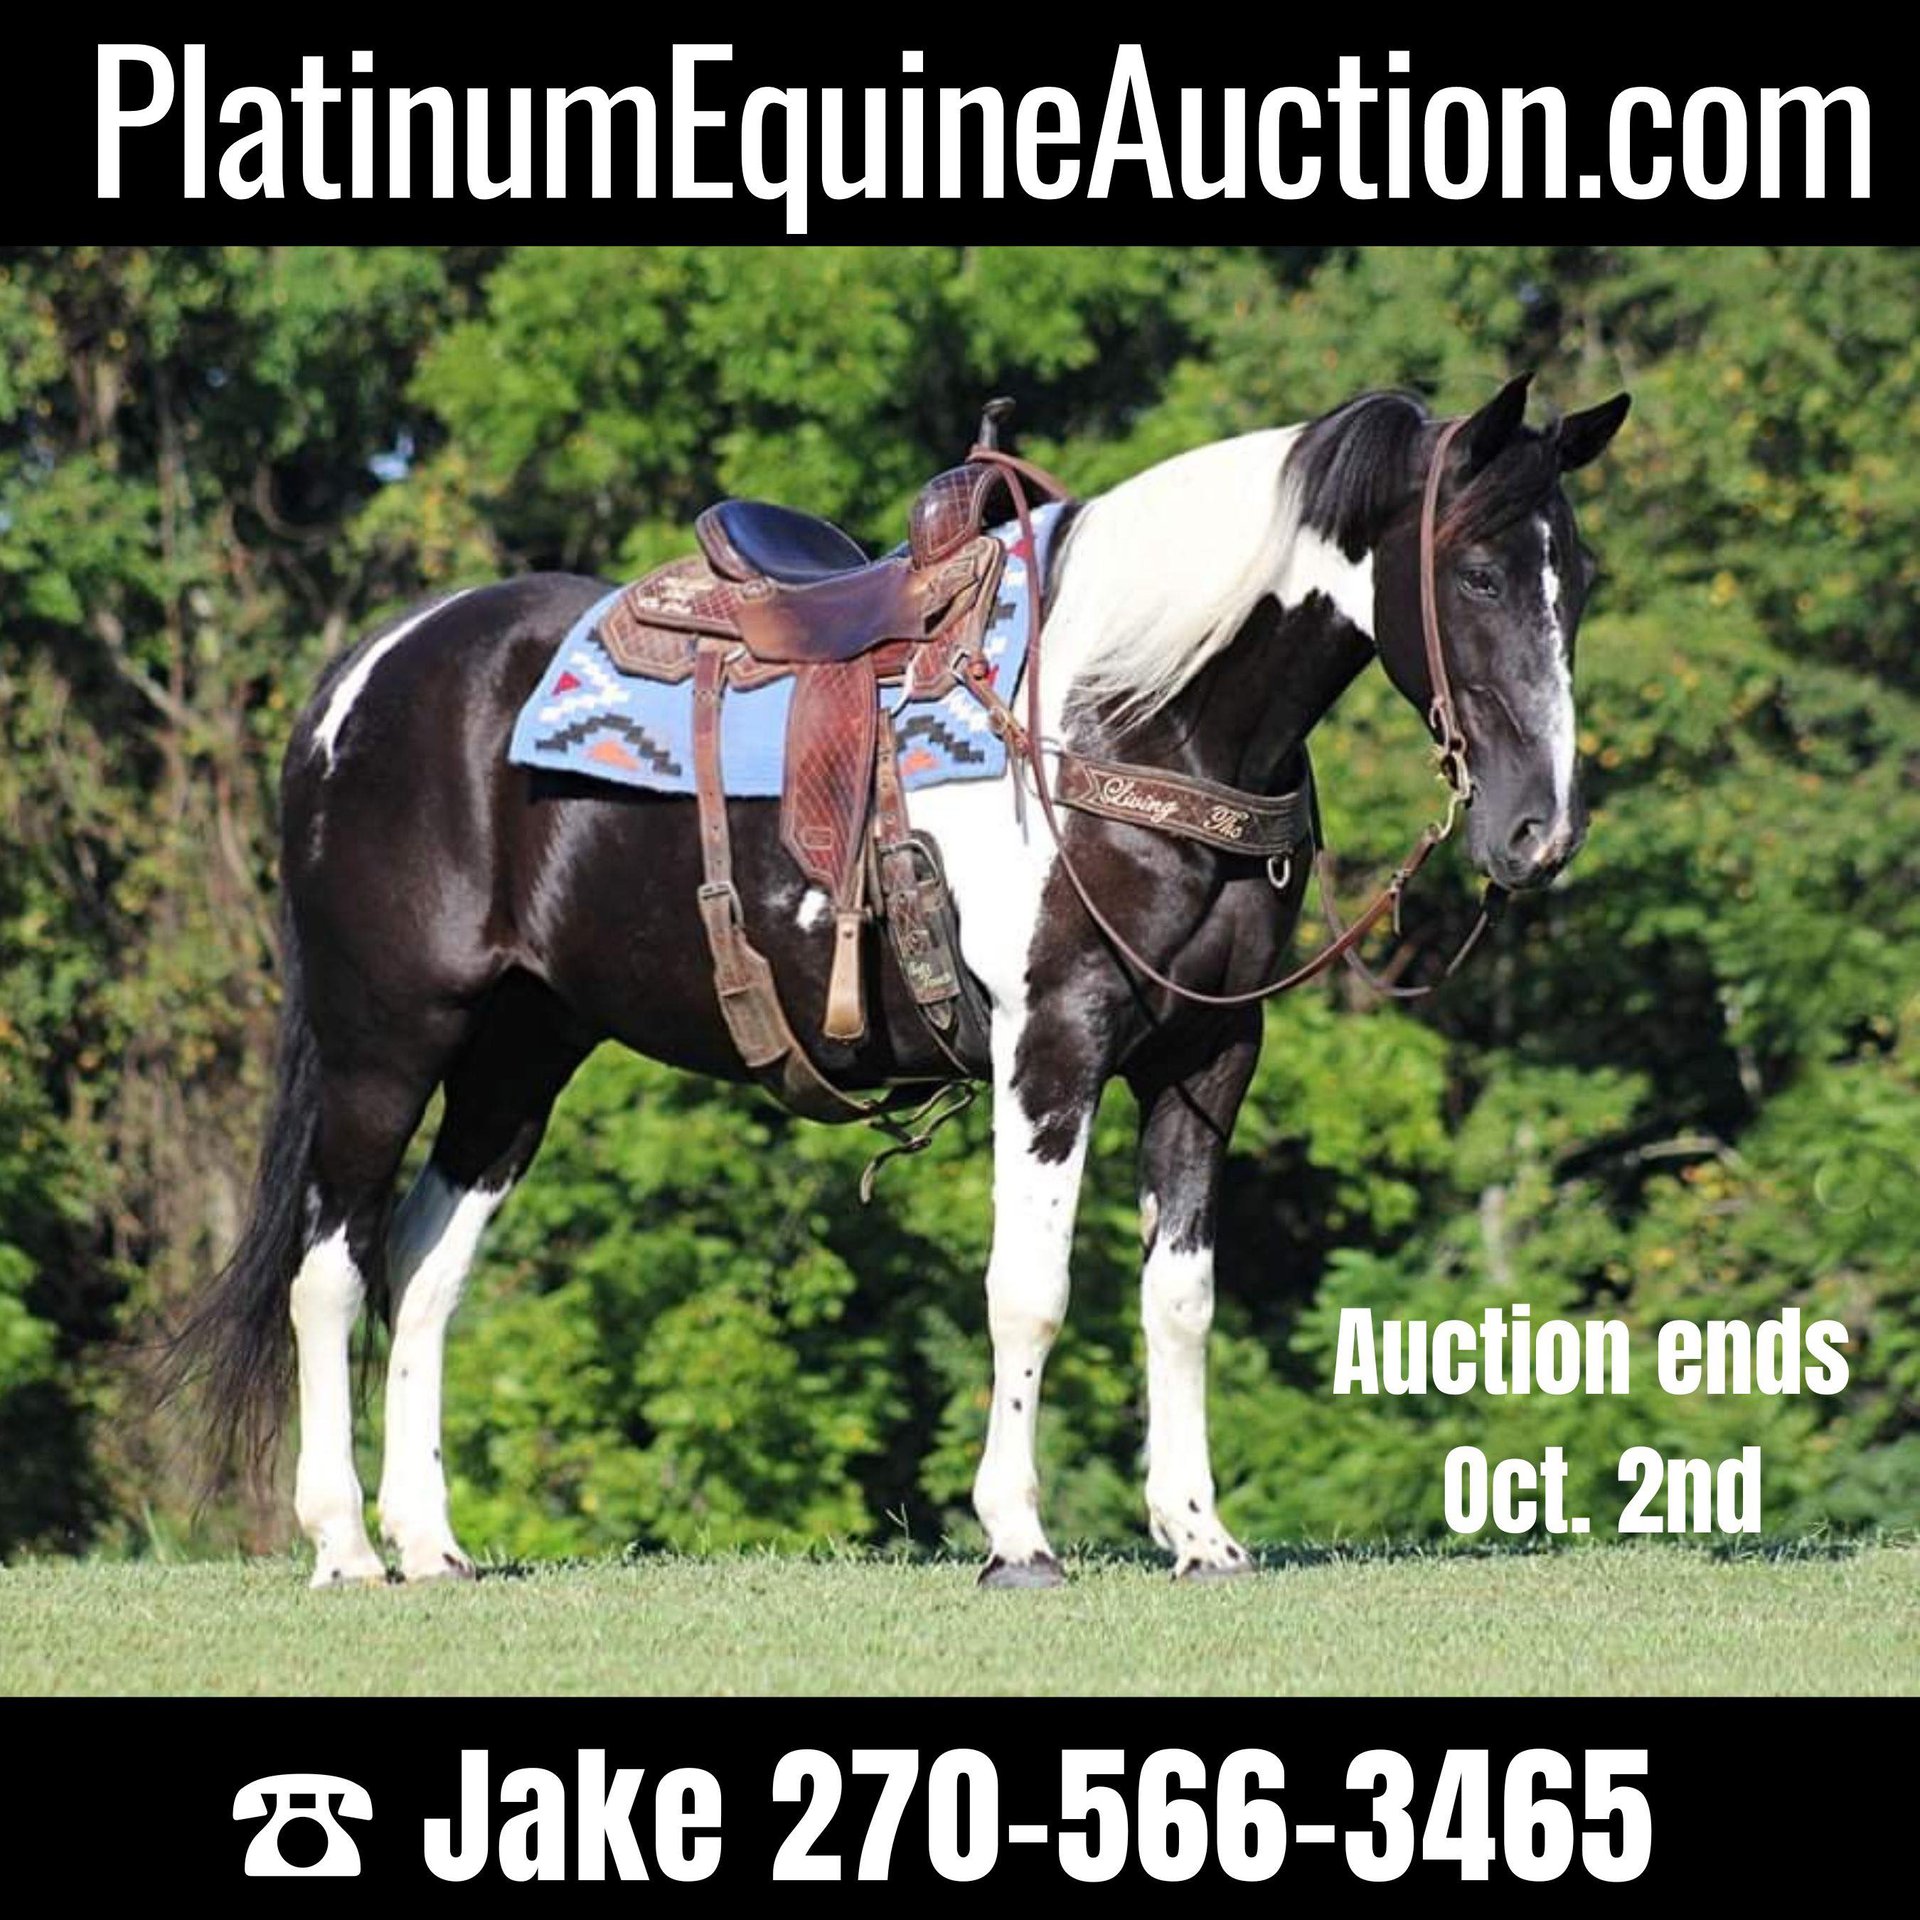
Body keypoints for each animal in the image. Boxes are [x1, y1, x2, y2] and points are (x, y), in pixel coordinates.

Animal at [177, 372, 1629, 1587]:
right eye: (1477, 572)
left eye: (1583, 581)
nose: (1538, 833)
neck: (1127, 715)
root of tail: (371, 674)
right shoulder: (1053, 1042)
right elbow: (1028, 1294)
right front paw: (1017, 1538)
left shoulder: (1209, 1058)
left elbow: (1179, 1298)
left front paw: (1198, 1534)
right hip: (387, 1043)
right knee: (330, 1273)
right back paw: (344, 1548)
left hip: (520, 1058)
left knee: (422, 1273)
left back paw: (428, 1546)